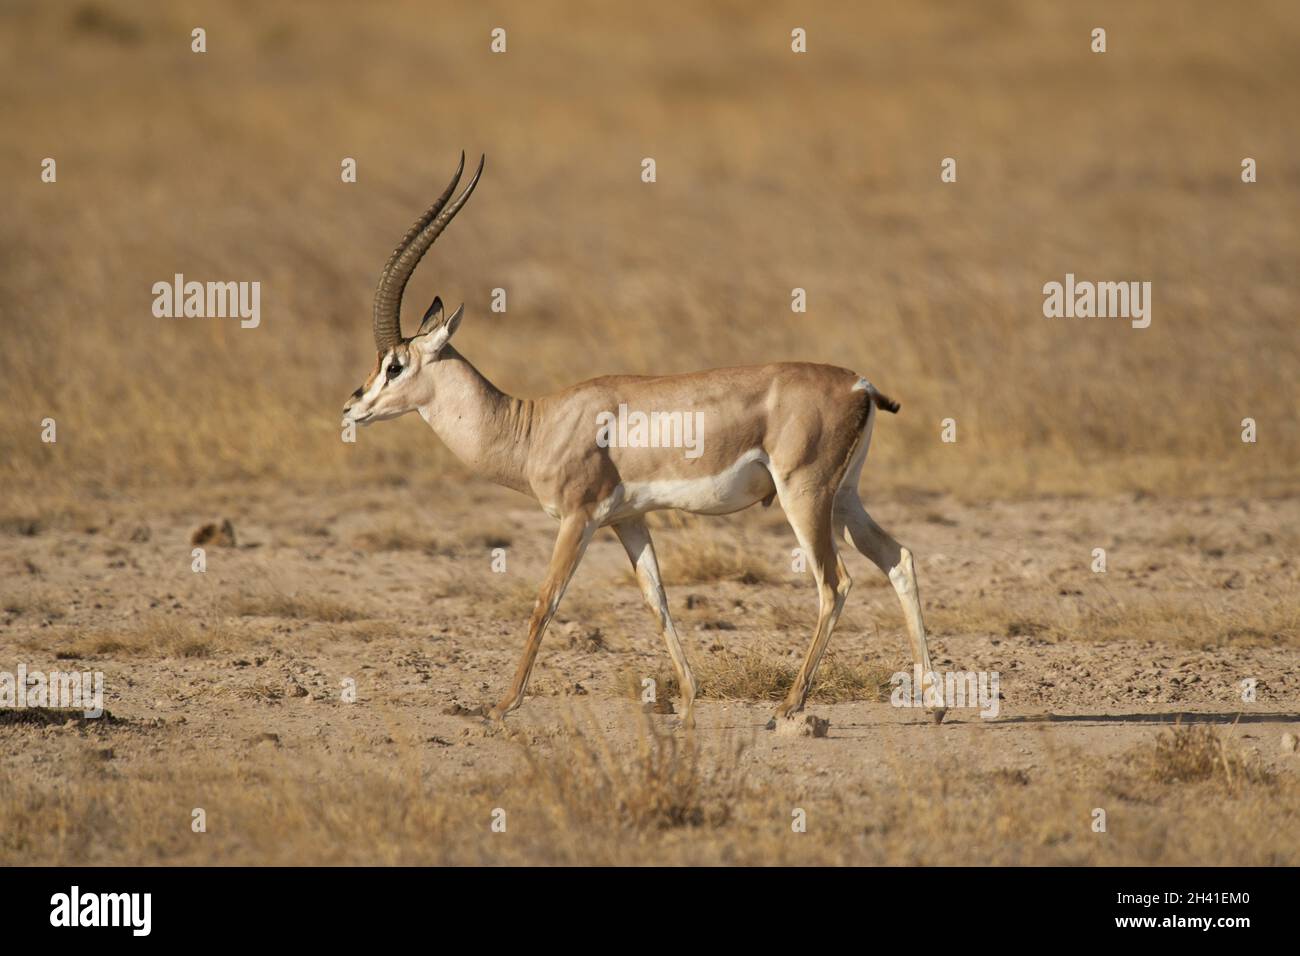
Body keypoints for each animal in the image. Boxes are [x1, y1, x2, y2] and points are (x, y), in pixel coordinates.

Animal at [343, 153, 945, 728]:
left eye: (395, 364)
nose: (353, 407)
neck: (536, 424)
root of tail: (859, 384)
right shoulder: (628, 520)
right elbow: (658, 600)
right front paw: (689, 700)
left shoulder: (578, 518)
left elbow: (545, 601)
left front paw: (500, 706)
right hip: (844, 499)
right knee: (899, 559)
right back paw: (934, 704)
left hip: (805, 498)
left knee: (834, 583)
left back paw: (788, 707)